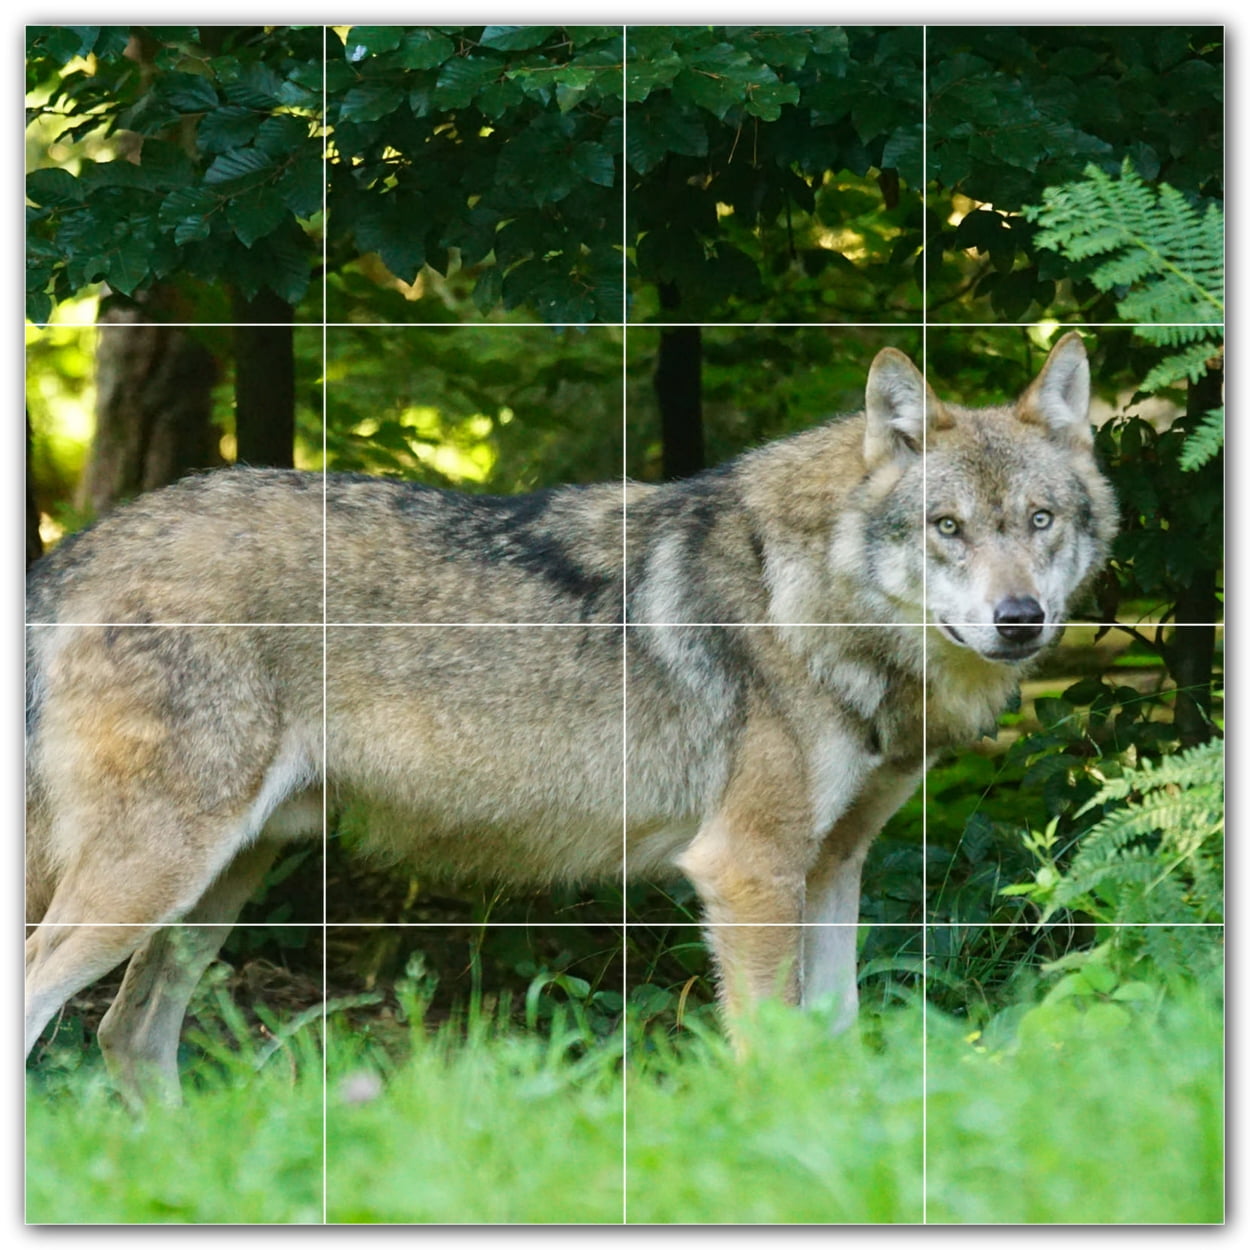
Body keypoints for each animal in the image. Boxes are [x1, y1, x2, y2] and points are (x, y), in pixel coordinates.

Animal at [25, 332, 1116, 1103]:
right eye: (946, 528)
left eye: (1039, 521)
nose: (1019, 618)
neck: (805, 598)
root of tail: (81, 547)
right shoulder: (747, 869)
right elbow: (770, 1052)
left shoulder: (833, 865)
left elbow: (835, 1041)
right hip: (158, 873)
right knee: (43, 997)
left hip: (217, 884)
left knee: (127, 1035)